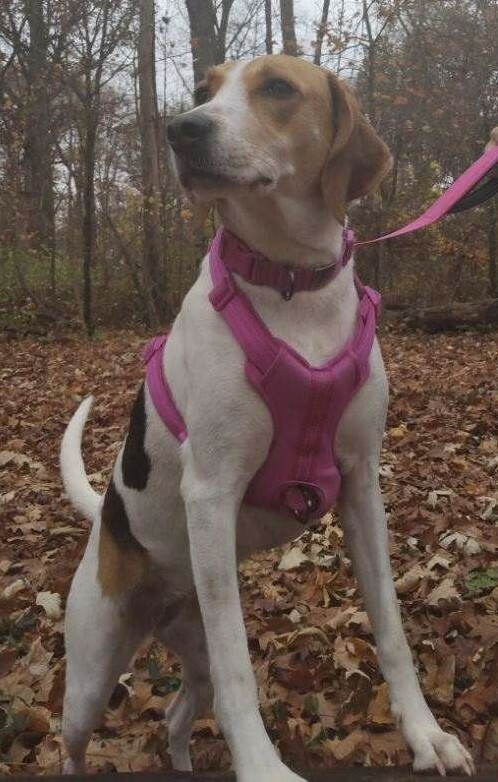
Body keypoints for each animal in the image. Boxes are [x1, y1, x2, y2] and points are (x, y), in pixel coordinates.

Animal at [60, 56, 476, 782]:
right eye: (203, 92)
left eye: (278, 88)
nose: (181, 129)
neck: (290, 282)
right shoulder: (210, 492)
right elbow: (240, 674)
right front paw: (262, 766)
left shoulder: (361, 485)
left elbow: (392, 629)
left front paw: (424, 732)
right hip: (91, 675)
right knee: (78, 742)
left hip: (191, 641)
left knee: (177, 714)